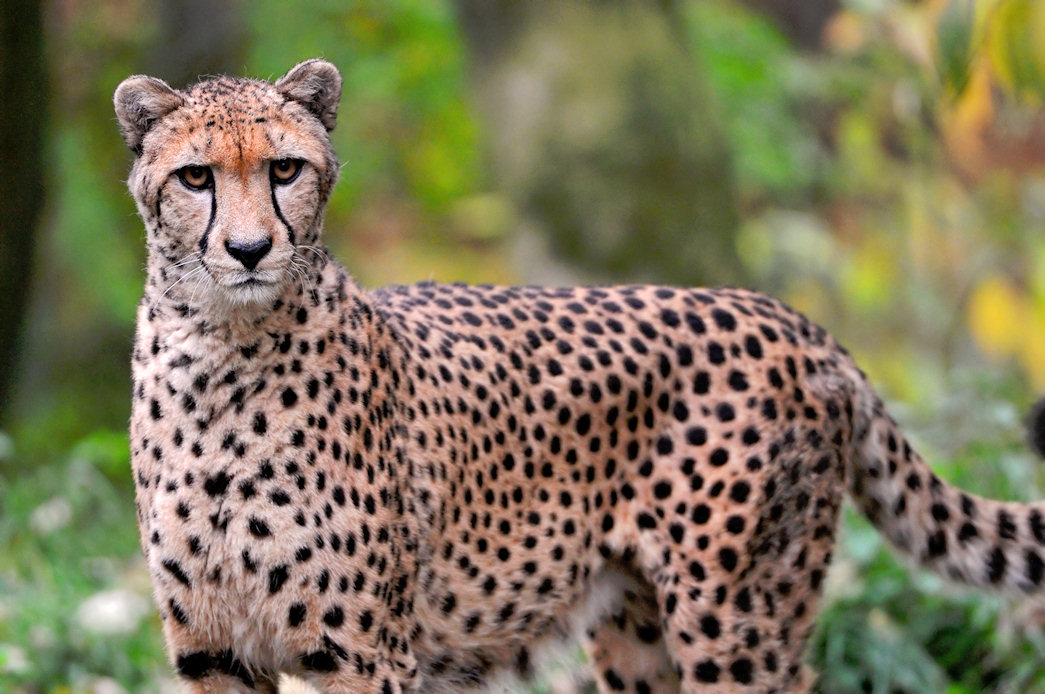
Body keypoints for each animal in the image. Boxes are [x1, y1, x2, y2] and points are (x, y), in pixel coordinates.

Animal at [115, 59, 1045, 693]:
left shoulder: (360, 654)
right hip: (637, 632)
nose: (248, 250)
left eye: (284, 169)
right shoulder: (215, 653)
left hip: (737, 619)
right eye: (196, 176)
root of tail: (792, 319)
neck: (221, 353)